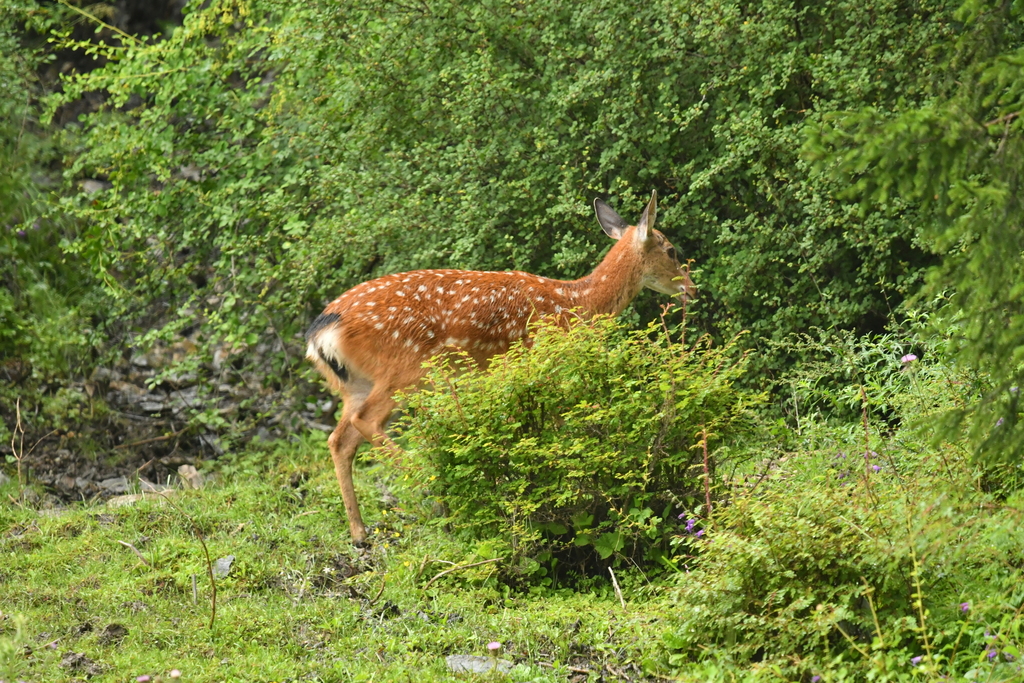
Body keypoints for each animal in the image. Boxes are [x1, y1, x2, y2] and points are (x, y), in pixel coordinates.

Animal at [305, 191, 696, 545]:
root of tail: (323, 330)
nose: (692, 288)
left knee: (339, 440)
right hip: (407, 368)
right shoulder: (532, 364)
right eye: (671, 250)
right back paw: (437, 492)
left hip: (356, 384)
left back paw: (360, 533)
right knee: (365, 423)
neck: (577, 303)